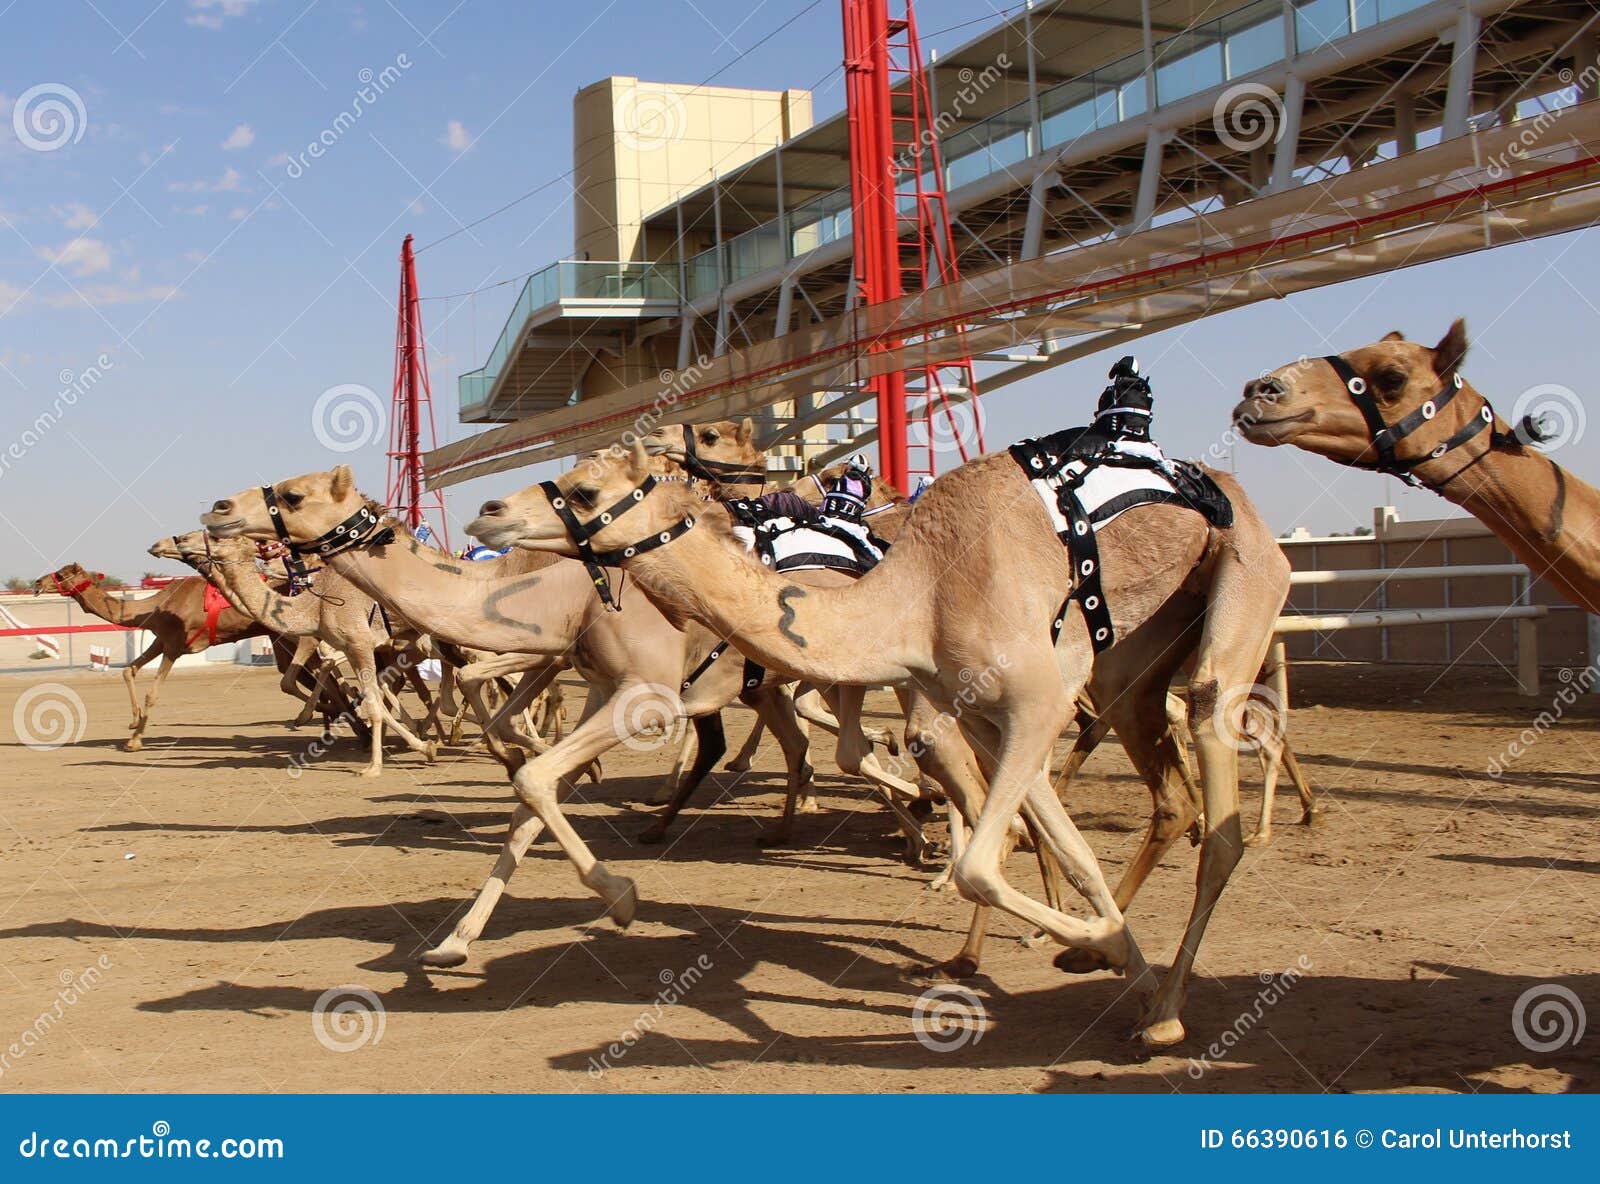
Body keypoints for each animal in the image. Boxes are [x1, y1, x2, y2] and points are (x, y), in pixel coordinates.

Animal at [147, 532, 439, 777]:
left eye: (215, 537)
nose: (168, 542)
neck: (314, 603)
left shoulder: (357, 643)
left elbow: (371, 702)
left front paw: (373, 766)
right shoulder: (351, 646)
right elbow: (370, 695)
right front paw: (423, 746)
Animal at [468, 436, 1290, 1045]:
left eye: (582, 492)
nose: (487, 511)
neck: (915, 597)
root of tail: (1234, 492)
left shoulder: (1035, 699)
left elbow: (982, 862)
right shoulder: (990, 715)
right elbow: (1071, 850)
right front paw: (1116, 955)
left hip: (1245, 589)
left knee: (1218, 771)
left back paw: (1169, 1005)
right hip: (1128, 670)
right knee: (1170, 792)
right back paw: (1132, 980)